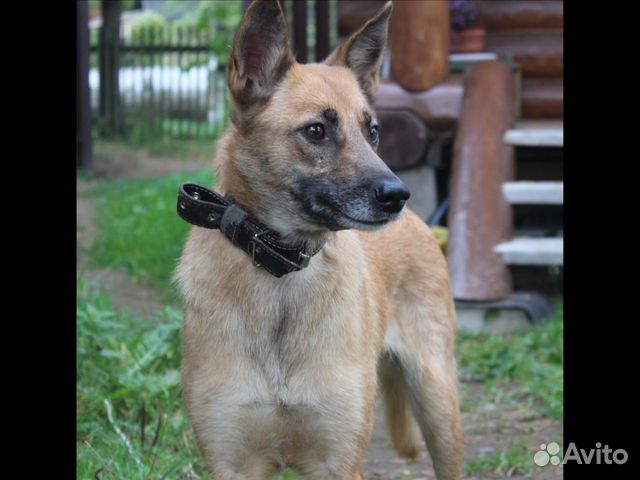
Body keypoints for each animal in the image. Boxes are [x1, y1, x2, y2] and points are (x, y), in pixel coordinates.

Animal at [174, 1, 463, 478]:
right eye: (316, 131)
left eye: (373, 131)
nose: (396, 195)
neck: (281, 273)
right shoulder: (234, 462)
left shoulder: (338, 461)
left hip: (438, 404)